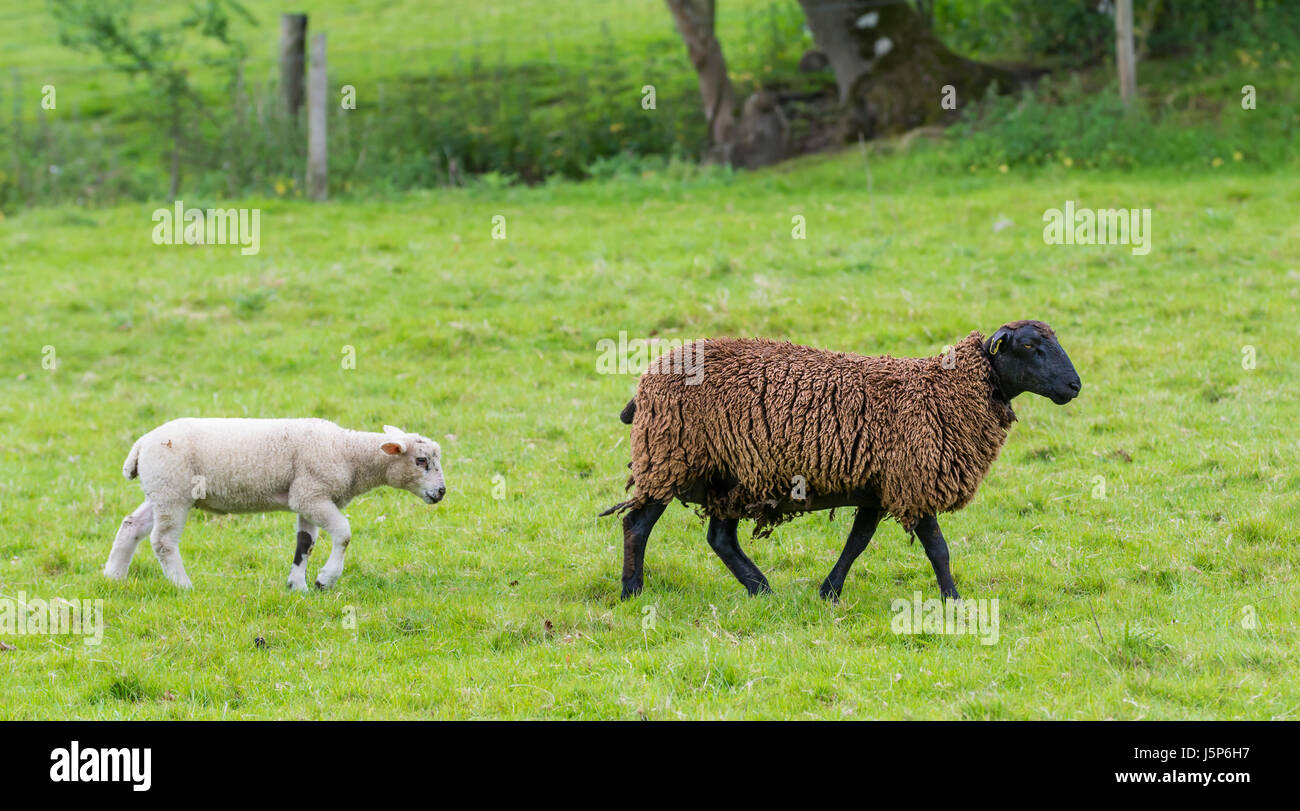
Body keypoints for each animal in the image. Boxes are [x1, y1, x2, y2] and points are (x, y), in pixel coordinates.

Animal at [105, 418, 445, 590]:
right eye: (421, 461)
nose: (441, 492)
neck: (348, 452)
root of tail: (141, 444)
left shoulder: (308, 498)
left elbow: (305, 543)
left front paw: (298, 586)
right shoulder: (311, 493)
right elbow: (344, 534)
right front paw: (325, 579)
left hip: (159, 492)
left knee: (131, 525)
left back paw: (114, 577)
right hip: (173, 492)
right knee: (162, 542)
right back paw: (183, 585)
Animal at [602, 320, 1081, 601]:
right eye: (1031, 346)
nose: (1075, 386)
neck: (945, 391)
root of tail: (646, 382)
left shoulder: (876, 487)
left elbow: (858, 541)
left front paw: (828, 591)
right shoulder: (913, 478)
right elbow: (938, 549)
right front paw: (954, 600)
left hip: (732, 475)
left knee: (720, 538)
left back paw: (761, 589)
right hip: (670, 458)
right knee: (637, 525)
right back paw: (632, 591)